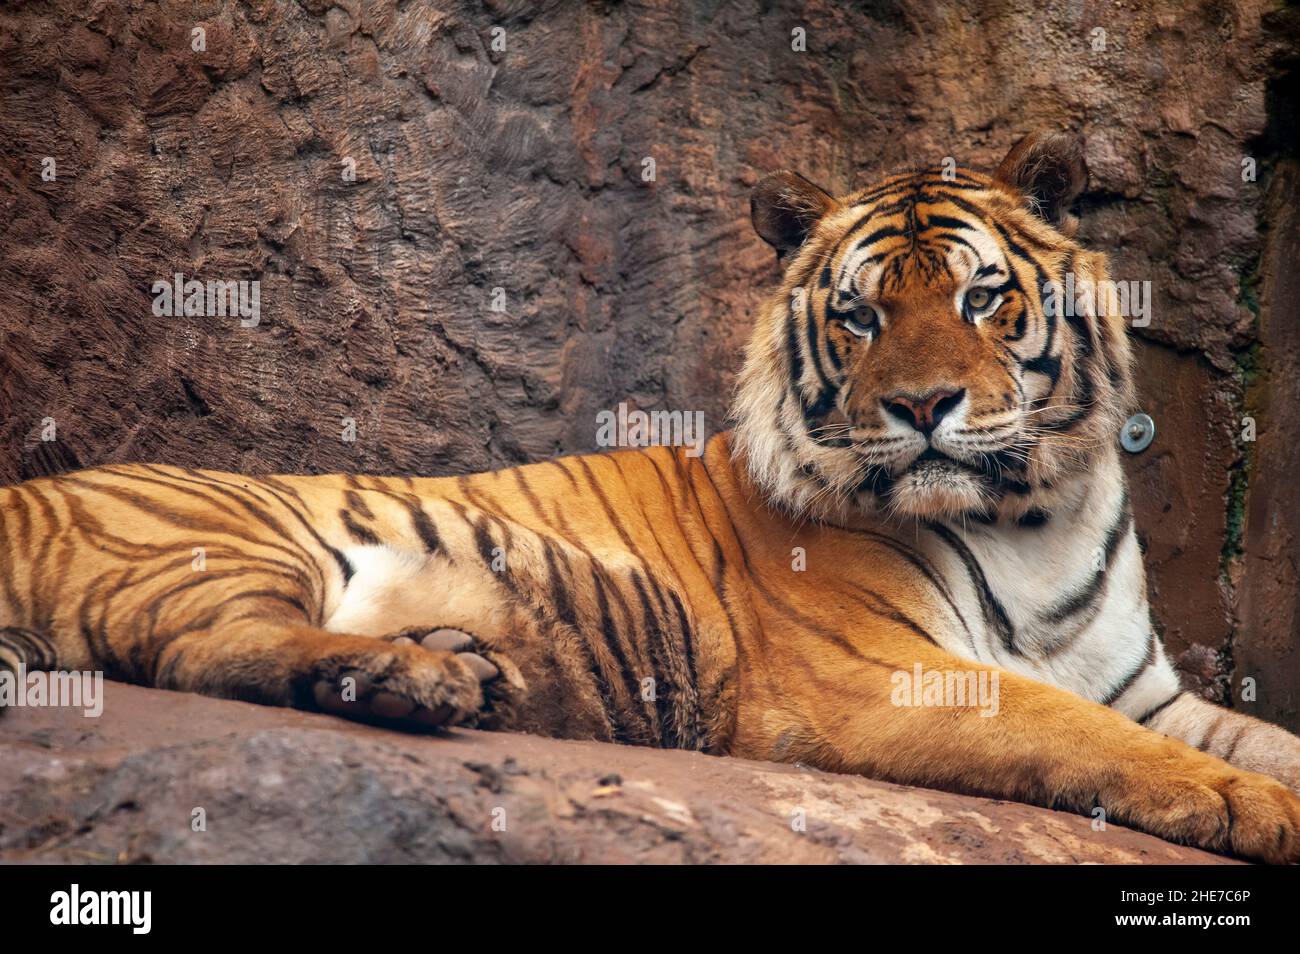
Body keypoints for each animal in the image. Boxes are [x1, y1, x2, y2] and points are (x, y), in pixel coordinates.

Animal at [2, 131, 1299, 863]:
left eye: (982, 298)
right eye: (858, 313)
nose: (921, 406)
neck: (1034, 516)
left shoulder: (1145, 688)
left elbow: (1256, 733)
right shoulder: (878, 674)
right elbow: (1083, 737)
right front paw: (1251, 811)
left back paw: (460, 665)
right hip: (218, 534)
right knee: (214, 648)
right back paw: (424, 681)